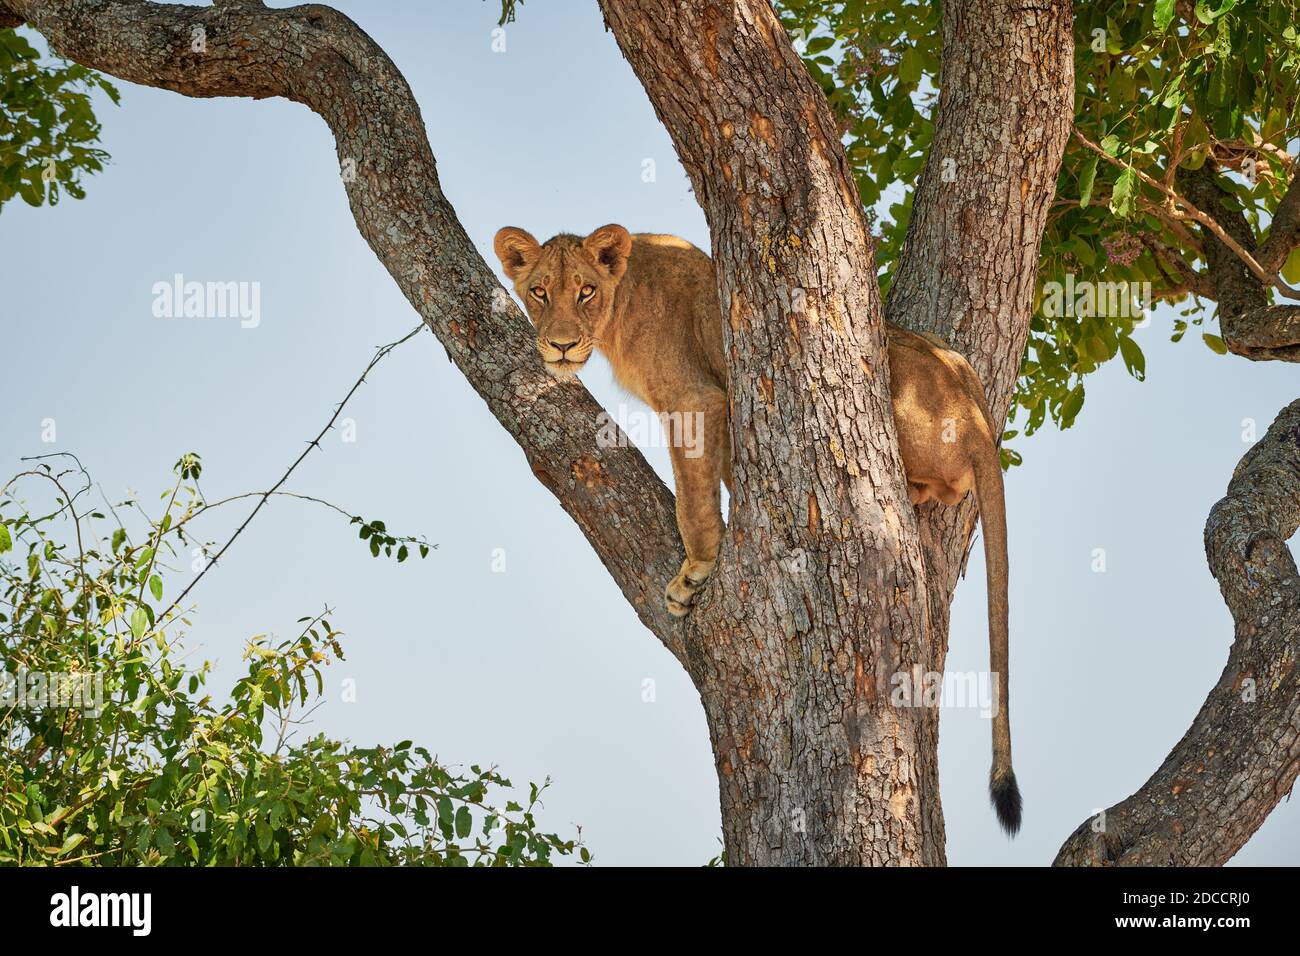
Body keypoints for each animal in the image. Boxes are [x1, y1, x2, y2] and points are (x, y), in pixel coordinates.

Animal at [494, 223, 1020, 835]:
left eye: (584, 292)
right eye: (538, 292)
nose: (557, 345)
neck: (620, 305)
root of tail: (978, 416)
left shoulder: (695, 400)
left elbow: (694, 500)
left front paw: (695, 574)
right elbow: (721, 476)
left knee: (948, 485)